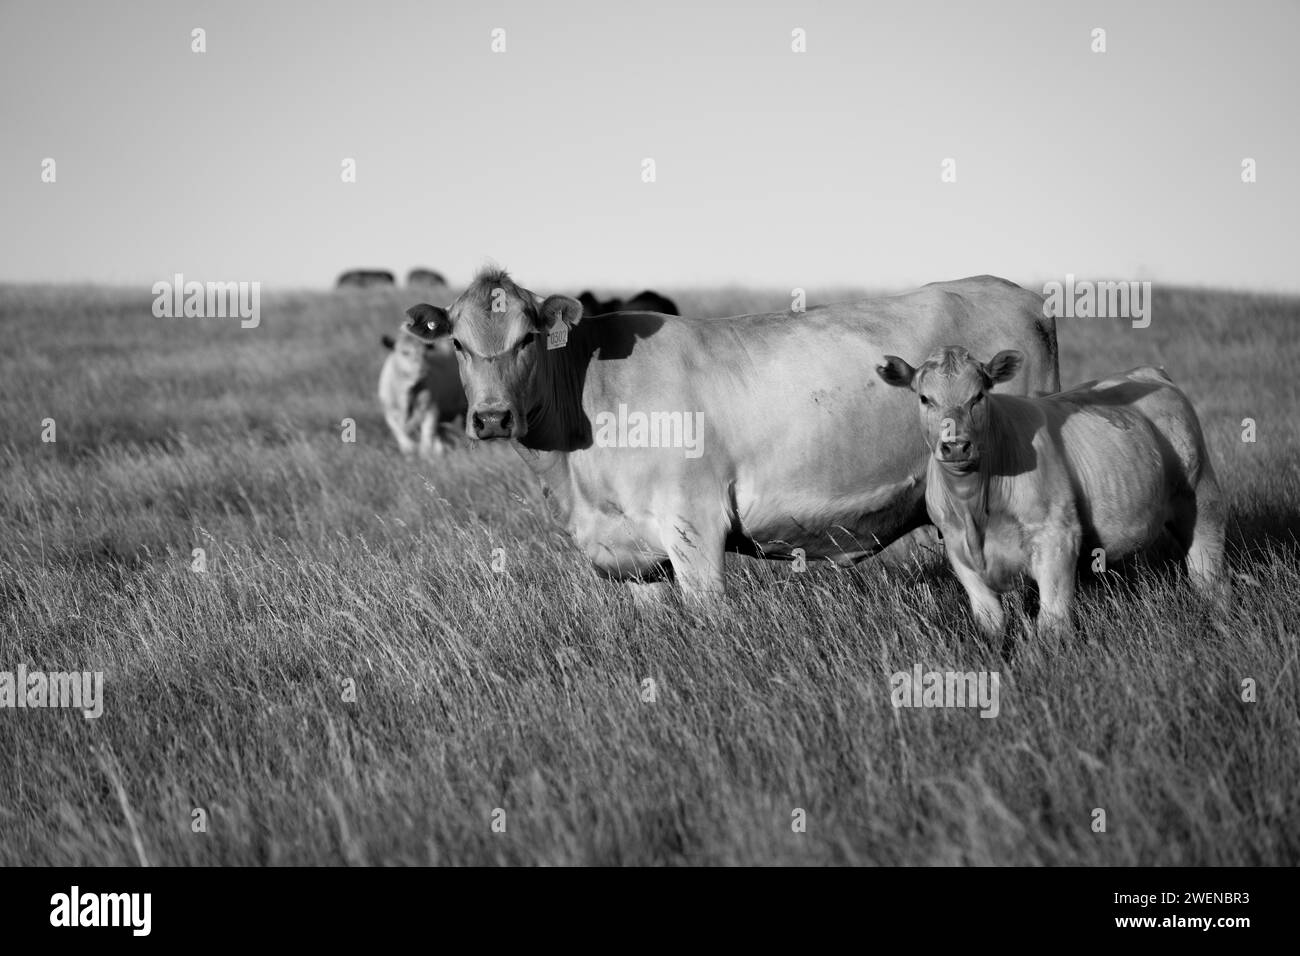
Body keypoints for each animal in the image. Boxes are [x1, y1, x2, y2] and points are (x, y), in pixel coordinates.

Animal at [378, 317, 467, 458]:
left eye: (425, 354)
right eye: (405, 352)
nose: (424, 371)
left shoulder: (431, 409)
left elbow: (427, 434)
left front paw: (424, 454)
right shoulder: (390, 412)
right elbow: (399, 432)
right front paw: (409, 448)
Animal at [404, 268, 1059, 600]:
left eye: (527, 339)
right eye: (457, 343)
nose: (493, 417)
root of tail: (1016, 292)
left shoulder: (694, 527)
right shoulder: (637, 561)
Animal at [875, 347, 1227, 637]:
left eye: (978, 395)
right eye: (925, 398)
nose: (956, 445)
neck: (975, 507)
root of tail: (1148, 372)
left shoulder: (1058, 537)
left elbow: (1052, 623)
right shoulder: (958, 550)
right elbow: (991, 623)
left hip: (1201, 500)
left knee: (1207, 575)